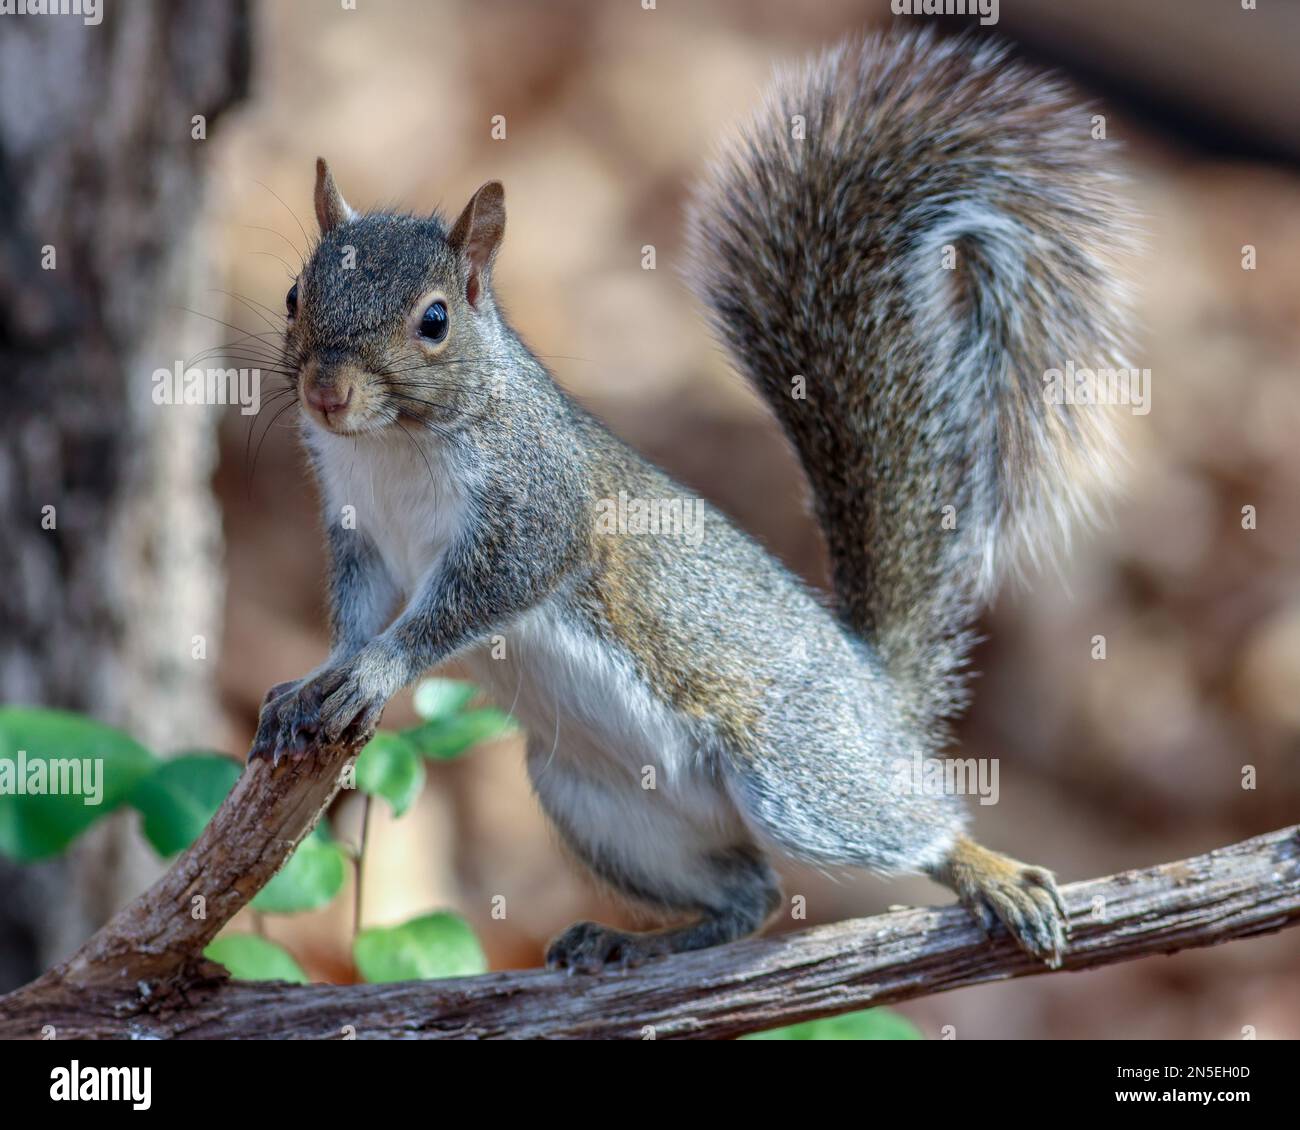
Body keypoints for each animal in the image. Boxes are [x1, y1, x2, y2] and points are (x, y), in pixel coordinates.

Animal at [250, 28, 1132, 973]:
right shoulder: (362, 534)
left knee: (904, 827)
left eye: (436, 320)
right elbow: (356, 614)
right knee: (752, 896)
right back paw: (635, 943)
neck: (391, 447)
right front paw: (315, 680)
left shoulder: (536, 514)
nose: (326, 395)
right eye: (295, 295)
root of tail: (877, 693)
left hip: (797, 779)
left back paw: (987, 871)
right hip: (602, 806)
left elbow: (458, 607)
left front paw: (377, 669)